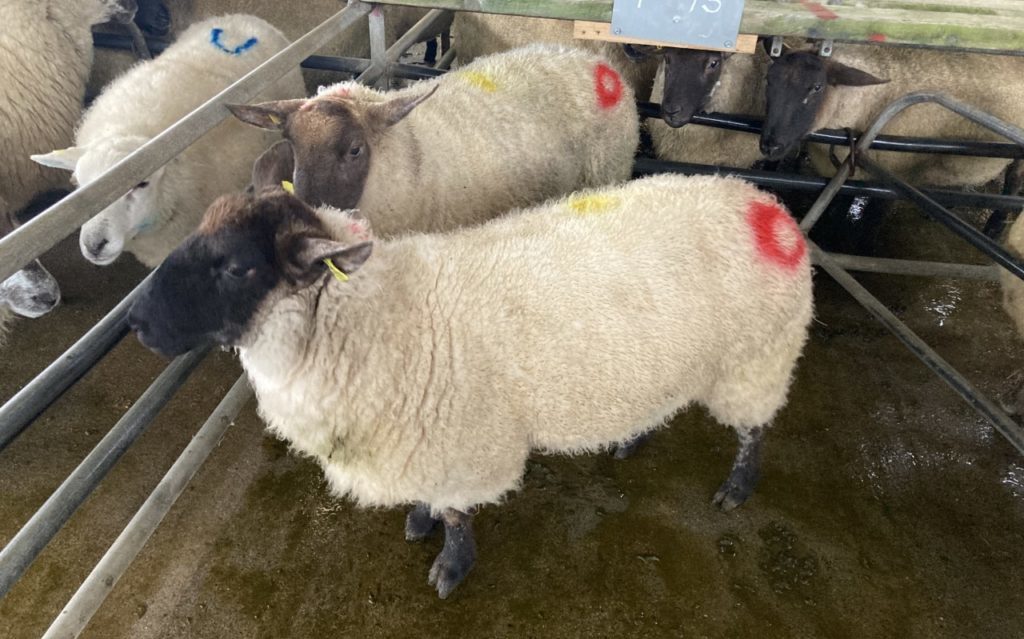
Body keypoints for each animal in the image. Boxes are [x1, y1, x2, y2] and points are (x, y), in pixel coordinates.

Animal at [127, 166, 814, 599]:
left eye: (236, 267)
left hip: (756, 358)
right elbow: (430, 500)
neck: (382, 315)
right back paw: (631, 440)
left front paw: (450, 565)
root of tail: (765, 205)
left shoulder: (458, 442)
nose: (134, 321)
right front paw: (419, 518)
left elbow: (458, 513)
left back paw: (737, 486)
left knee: (755, 430)